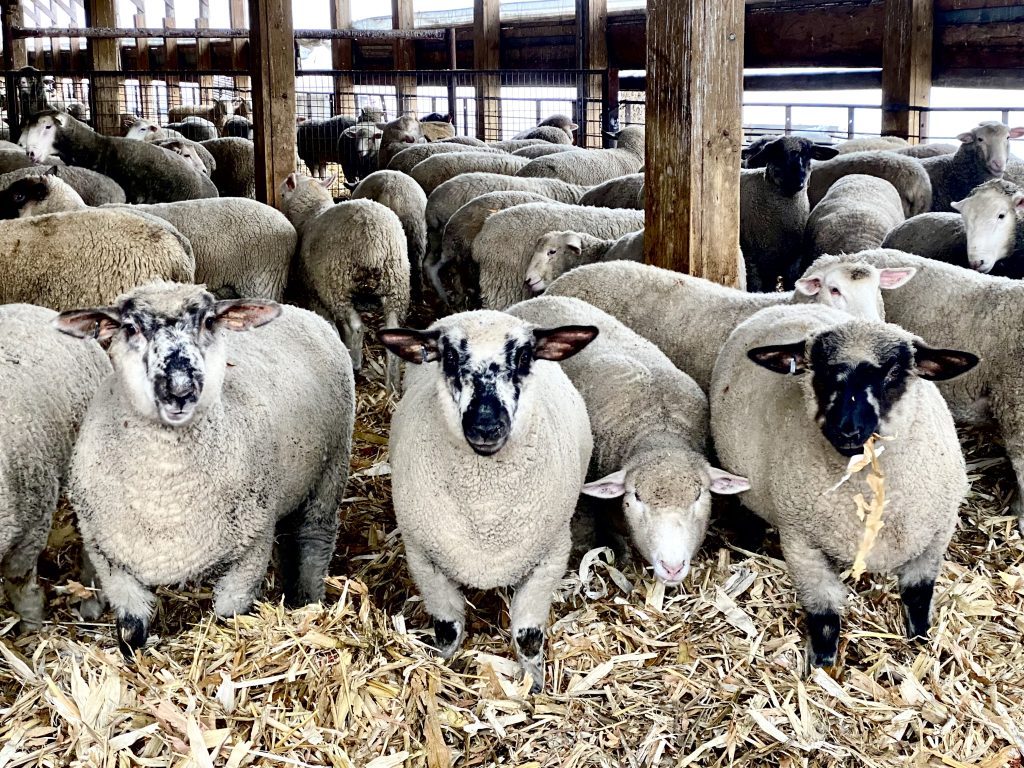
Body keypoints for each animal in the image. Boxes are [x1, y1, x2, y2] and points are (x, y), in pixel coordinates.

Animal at [55, 282, 355, 655]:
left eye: (210, 321)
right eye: (130, 327)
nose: (180, 388)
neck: (164, 499)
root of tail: (300, 311)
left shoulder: (251, 552)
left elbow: (228, 619)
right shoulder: (110, 561)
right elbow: (130, 633)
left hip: (331, 469)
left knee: (315, 536)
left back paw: (308, 600)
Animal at [279, 173, 409, 391]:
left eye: (281, 194)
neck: (309, 214)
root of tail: (373, 239)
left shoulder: (314, 293)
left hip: (336, 284)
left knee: (354, 326)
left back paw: (354, 362)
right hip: (397, 282)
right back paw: (392, 385)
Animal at [380, 311, 596, 692]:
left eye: (524, 356)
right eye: (450, 357)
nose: (485, 425)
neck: (487, 511)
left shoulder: (551, 558)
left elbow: (528, 635)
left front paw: (534, 684)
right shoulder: (423, 559)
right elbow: (447, 627)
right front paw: (442, 667)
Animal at [710, 303, 977, 668]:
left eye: (893, 372)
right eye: (819, 372)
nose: (846, 429)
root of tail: (787, 305)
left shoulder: (937, 534)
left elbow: (919, 594)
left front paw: (921, 640)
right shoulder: (800, 542)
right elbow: (823, 611)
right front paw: (822, 664)